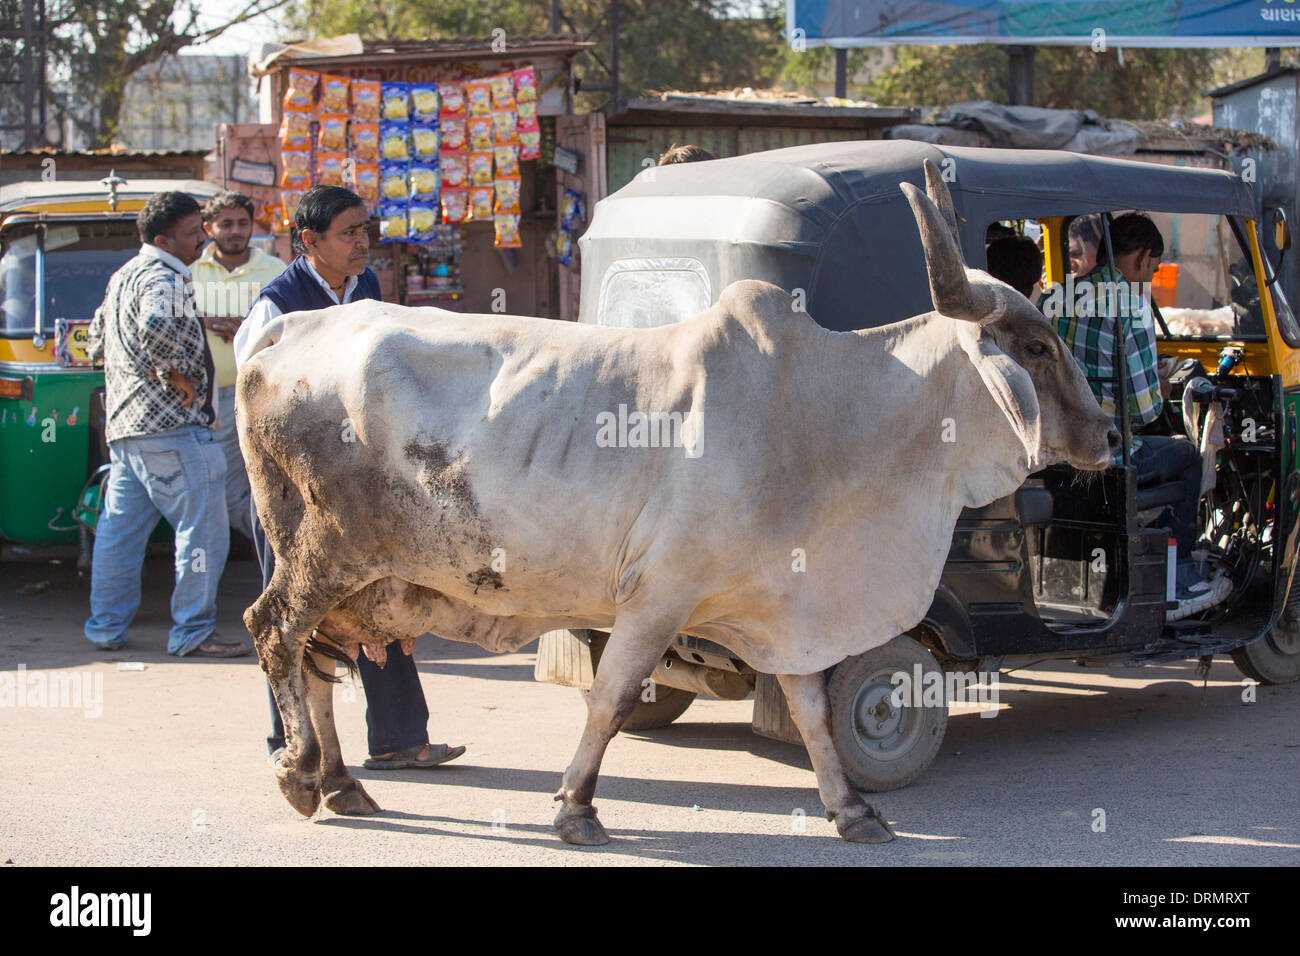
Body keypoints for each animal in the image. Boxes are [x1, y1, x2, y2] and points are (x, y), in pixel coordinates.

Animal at [237, 161, 1118, 845]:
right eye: (1036, 347)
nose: (1109, 431)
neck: (822, 416)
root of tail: (285, 332)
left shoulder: (784, 599)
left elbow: (812, 712)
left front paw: (853, 810)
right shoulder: (658, 595)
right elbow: (612, 700)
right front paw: (575, 808)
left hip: (353, 578)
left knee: (317, 659)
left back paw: (343, 784)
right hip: (323, 552)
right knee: (276, 632)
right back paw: (299, 775)